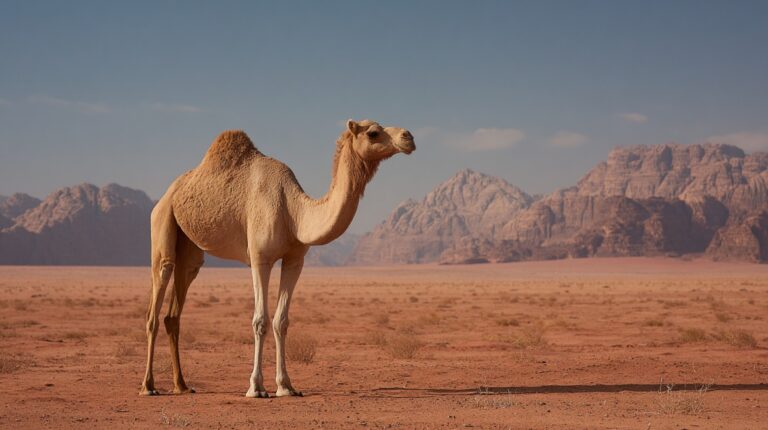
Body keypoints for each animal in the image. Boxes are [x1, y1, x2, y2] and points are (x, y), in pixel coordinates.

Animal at [140, 119, 415, 398]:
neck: (294, 212)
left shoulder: (294, 261)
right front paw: (256, 387)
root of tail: (167, 195)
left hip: (190, 249)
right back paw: (148, 386)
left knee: (175, 306)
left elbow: (281, 321)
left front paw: (286, 386)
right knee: (157, 297)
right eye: (373, 133)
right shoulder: (260, 258)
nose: (409, 137)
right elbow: (260, 320)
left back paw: (182, 385)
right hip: (162, 222)